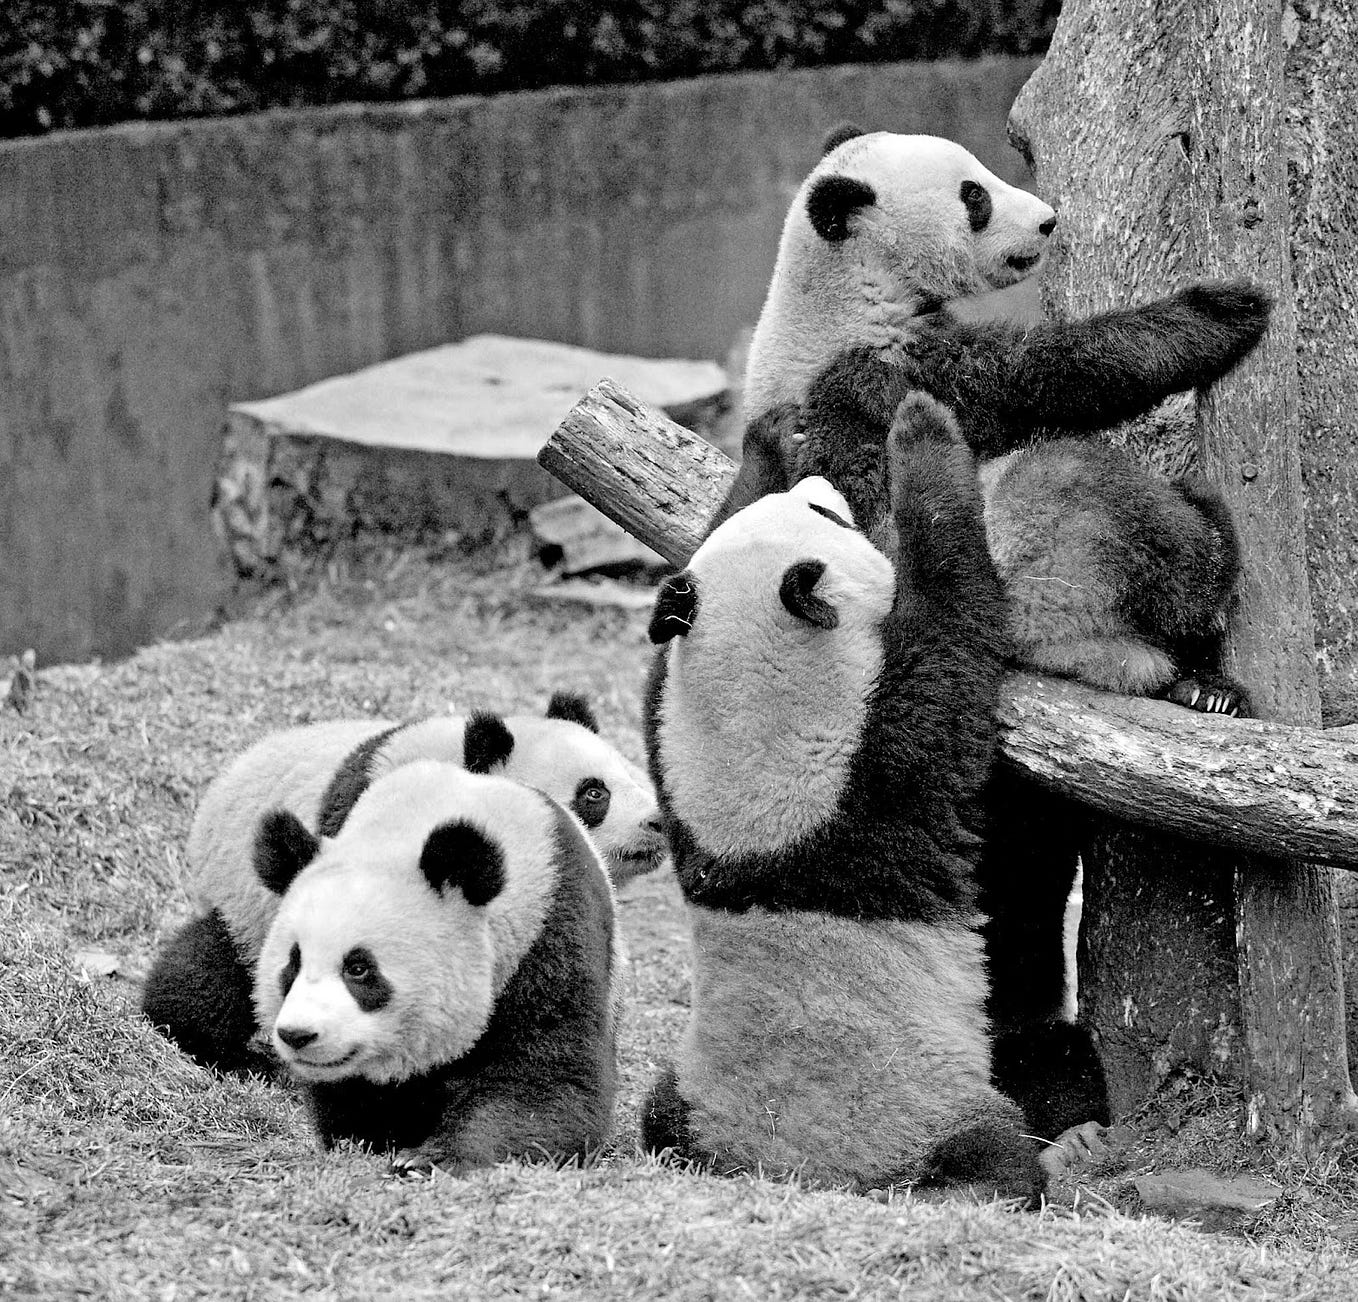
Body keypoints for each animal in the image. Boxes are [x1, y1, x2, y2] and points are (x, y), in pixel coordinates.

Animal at [249, 760, 619, 1172]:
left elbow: (545, 1081)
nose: (298, 1035)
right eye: (292, 964)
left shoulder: (546, 936)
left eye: (359, 969)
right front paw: (367, 1141)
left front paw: (431, 1158)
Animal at [640, 393, 1046, 1202]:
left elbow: (659, 661)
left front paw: (766, 445)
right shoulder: (883, 766)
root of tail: (792, 1166)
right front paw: (922, 432)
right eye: (828, 519)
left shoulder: (681, 781)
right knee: (992, 1157)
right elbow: (958, 627)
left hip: (693, 1092)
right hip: (926, 1108)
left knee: (658, 1114)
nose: (821, 486)